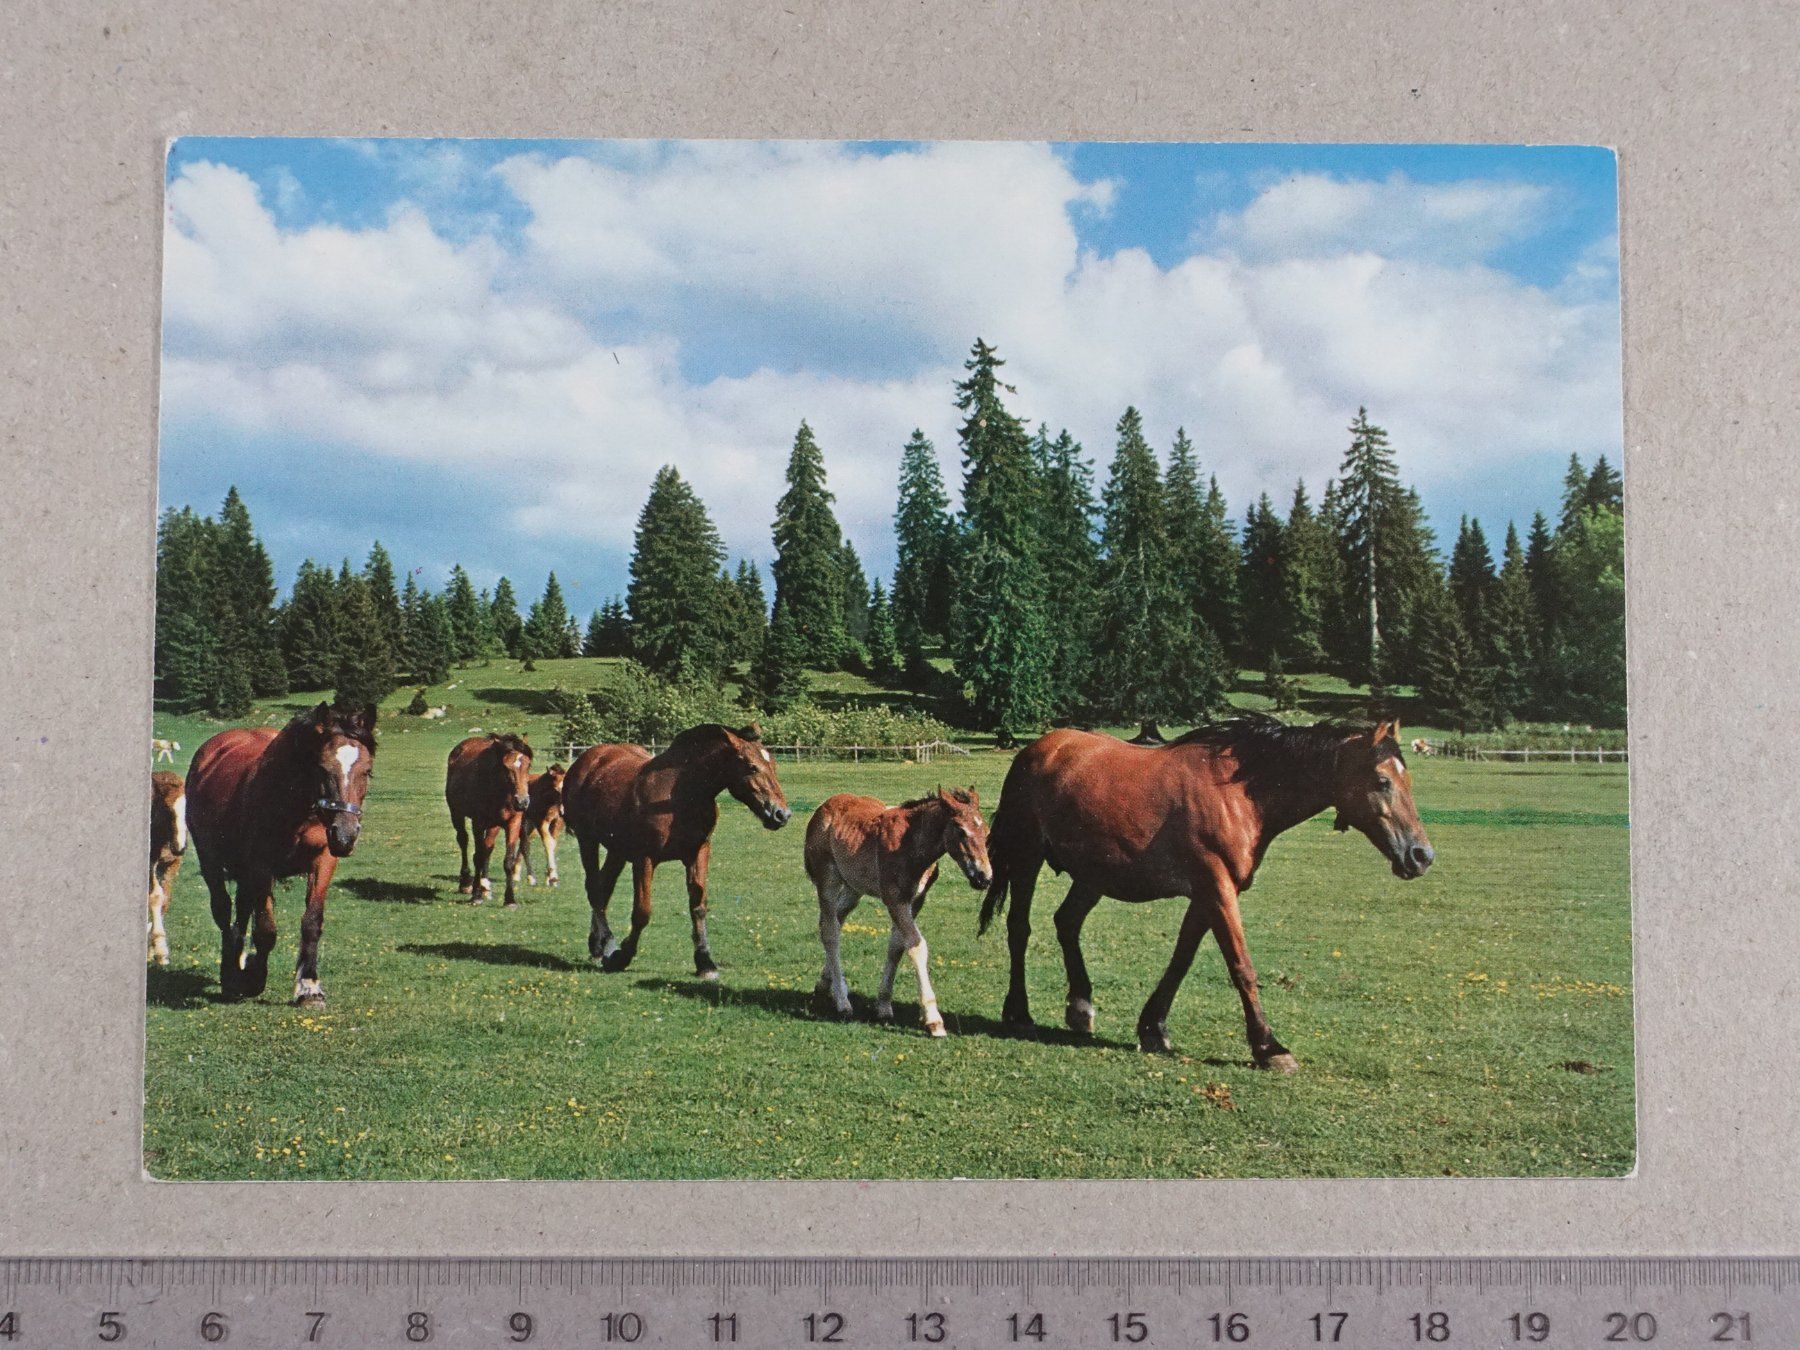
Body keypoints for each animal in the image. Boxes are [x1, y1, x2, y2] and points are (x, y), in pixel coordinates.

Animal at [185, 702, 377, 1007]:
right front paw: (254, 979)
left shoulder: (324, 861)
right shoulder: (262, 867)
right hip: (211, 861)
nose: (346, 835)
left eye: (367, 771)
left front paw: (309, 987)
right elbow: (265, 929)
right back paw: (230, 975)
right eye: (321, 768)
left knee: (242, 911)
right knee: (224, 911)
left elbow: (311, 922)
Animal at [445, 733, 534, 907]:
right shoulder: (478, 823)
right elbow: (478, 857)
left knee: (488, 848)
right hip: (456, 813)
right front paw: (476, 895)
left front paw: (510, 899)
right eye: (506, 767)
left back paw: (485, 886)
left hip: (493, 825)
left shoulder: (513, 823)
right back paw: (466, 883)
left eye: (528, 765)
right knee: (463, 840)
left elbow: (508, 861)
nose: (522, 802)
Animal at [562, 722, 791, 978]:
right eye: (751, 767)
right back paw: (608, 944)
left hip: (616, 850)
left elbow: (698, 906)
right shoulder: (644, 859)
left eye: (773, 764)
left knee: (604, 887)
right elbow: (642, 912)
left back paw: (597, 947)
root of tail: (589, 759)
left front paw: (705, 962)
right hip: (587, 840)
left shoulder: (698, 853)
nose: (781, 814)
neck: (679, 795)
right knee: (594, 888)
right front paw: (622, 956)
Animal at [806, 787, 992, 1037]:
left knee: (836, 918)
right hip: (828, 881)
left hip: (854, 888)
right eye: (962, 831)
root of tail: (823, 807)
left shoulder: (916, 900)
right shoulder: (895, 900)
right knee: (830, 931)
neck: (911, 844)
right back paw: (843, 1002)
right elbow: (916, 946)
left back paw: (828, 984)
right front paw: (933, 1019)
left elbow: (896, 947)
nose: (984, 878)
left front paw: (883, 1005)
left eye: (987, 832)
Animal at [978, 716, 1433, 1070]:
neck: (1239, 794)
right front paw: (1269, 1047)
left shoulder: (1207, 894)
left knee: (1067, 923)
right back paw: (1019, 1012)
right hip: (1028, 857)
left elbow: (1182, 959)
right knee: (1019, 928)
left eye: (1408, 779)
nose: (1421, 855)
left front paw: (1154, 1028)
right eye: (1382, 781)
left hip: (1093, 876)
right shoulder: (1217, 888)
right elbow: (1241, 966)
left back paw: (1080, 1005)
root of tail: (1036, 749)